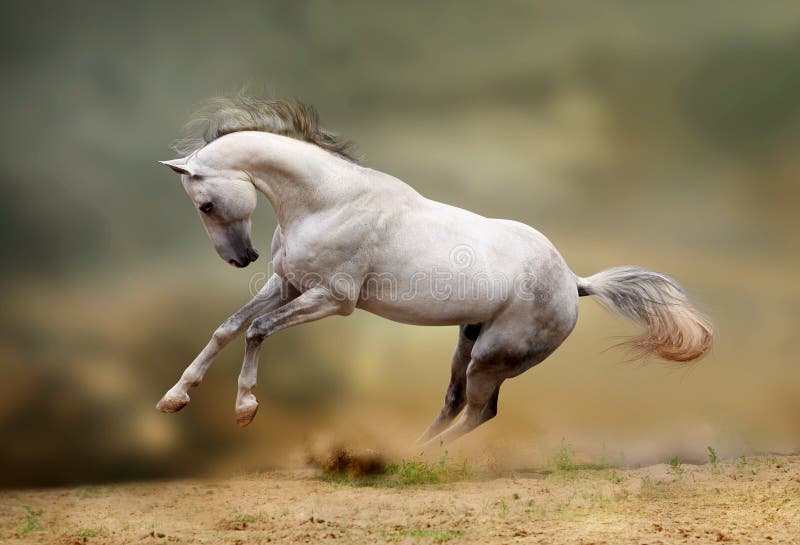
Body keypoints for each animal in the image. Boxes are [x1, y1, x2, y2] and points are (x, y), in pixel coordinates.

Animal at [157, 95, 713, 446]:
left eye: (205, 204)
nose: (241, 258)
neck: (328, 202)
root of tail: (575, 283)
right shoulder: (287, 284)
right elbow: (228, 327)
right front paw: (174, 399)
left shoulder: (333, 300)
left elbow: (256, 329)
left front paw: (245, 409)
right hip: (468, 343)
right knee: (453, 401)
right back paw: (409, 454)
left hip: (493, 356)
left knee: (480, 411)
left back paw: (429, 459)